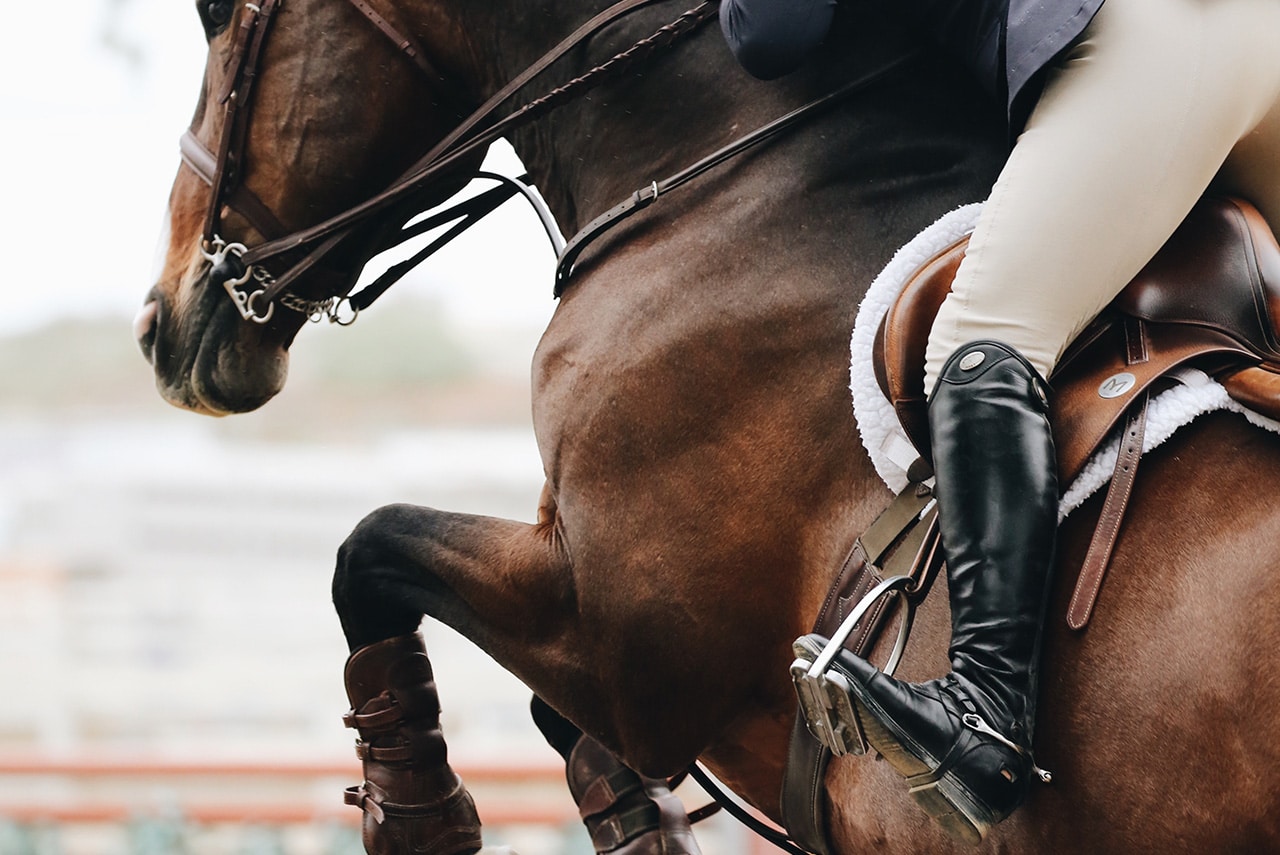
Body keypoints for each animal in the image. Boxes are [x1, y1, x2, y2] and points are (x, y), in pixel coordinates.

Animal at [135, 0, 1280, 850]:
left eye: (216, 18)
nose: (160, 323)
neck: (729, 184)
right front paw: (636, 823)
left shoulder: (620, 638)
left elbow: (367, 552)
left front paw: (418, 818)